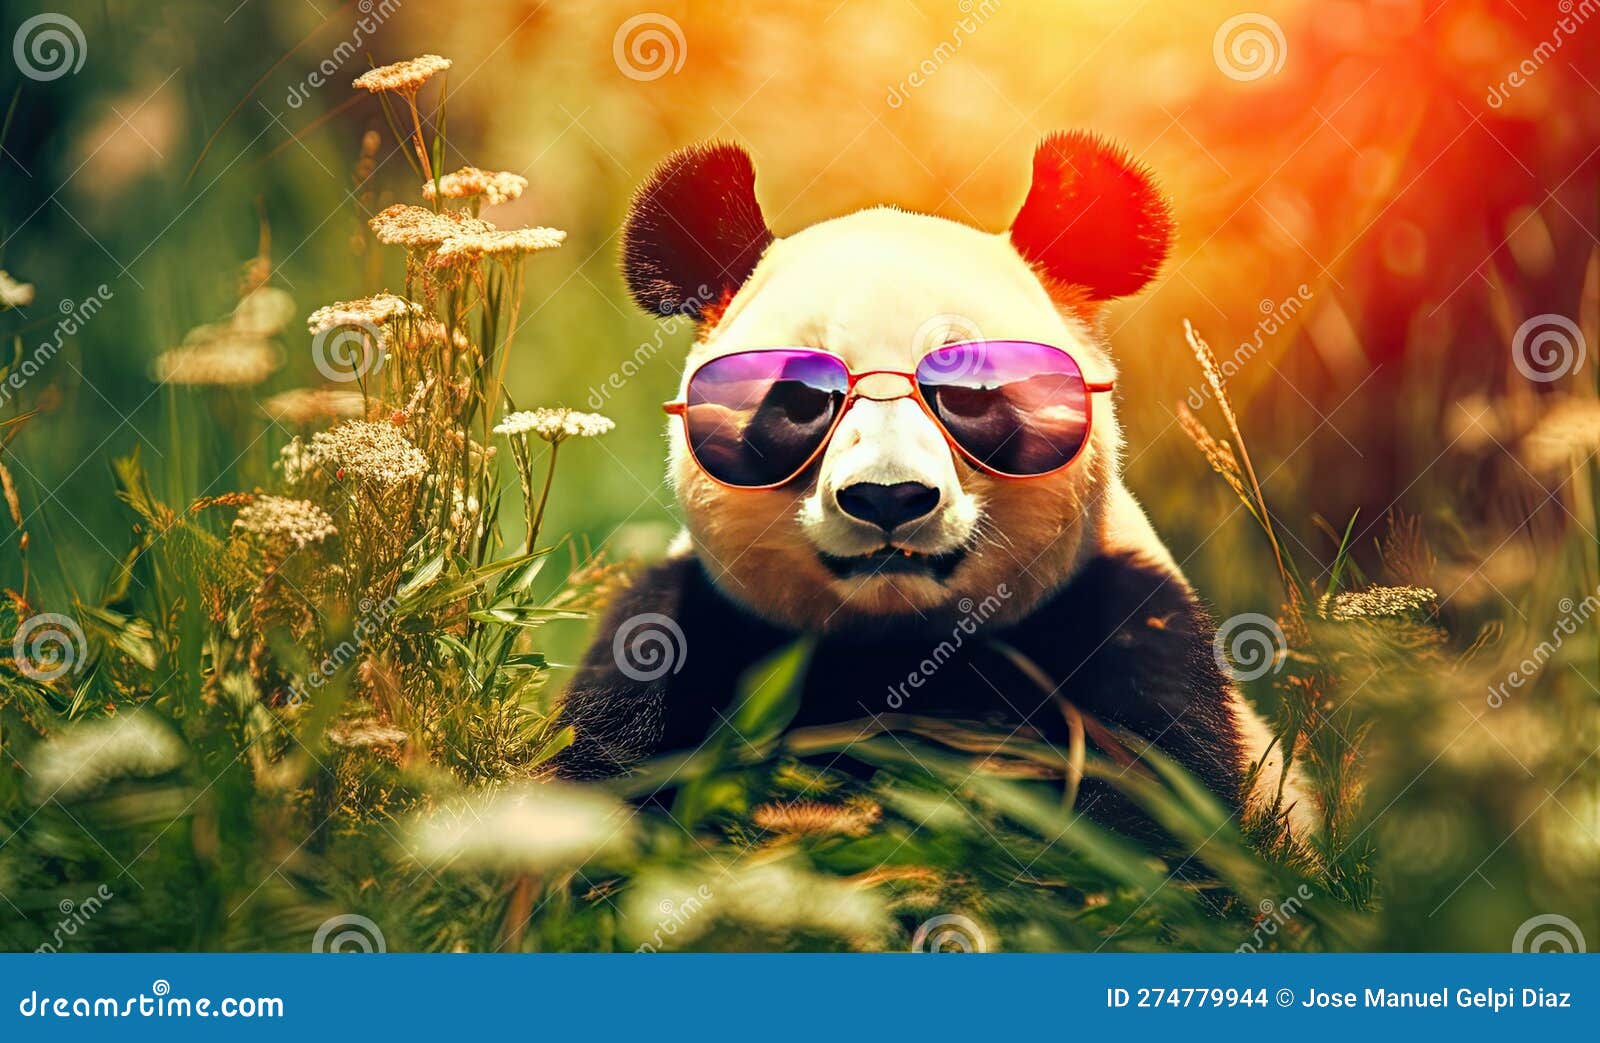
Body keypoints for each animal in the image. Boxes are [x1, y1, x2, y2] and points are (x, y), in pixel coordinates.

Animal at [555, 131, 1309, 838]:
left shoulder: (1127, 628)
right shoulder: (679, 634)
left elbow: (1149, 809)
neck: (895, 648)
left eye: (969, 394)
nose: (888, 496)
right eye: (802, 400)